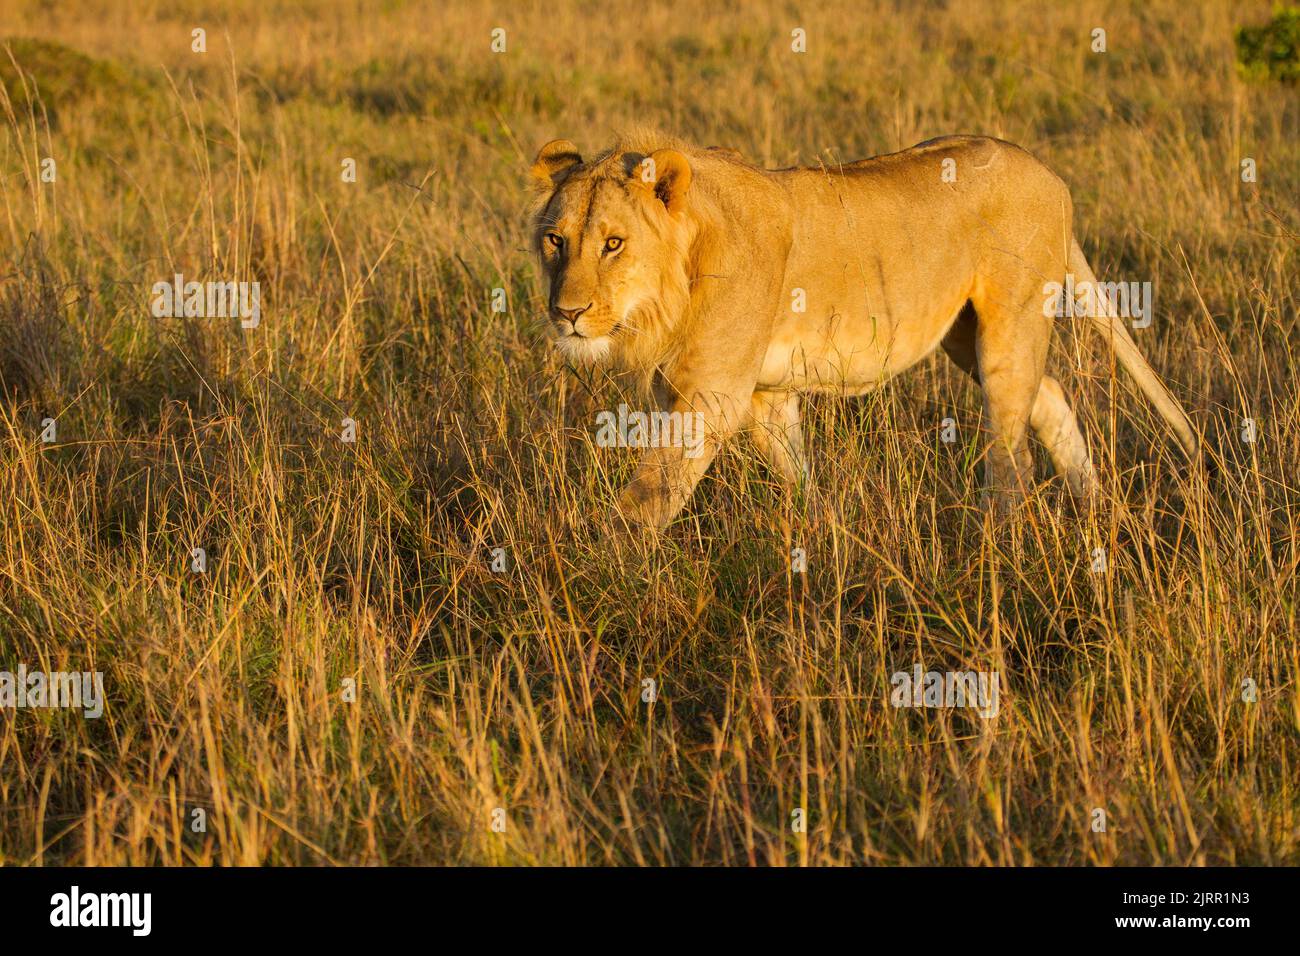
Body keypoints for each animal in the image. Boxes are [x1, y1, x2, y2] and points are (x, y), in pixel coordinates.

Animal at [529, 132, 1199, 529]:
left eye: (613, 244)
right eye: (555, 241)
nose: (567, 314)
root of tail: (1050, 173)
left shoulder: (707, 397)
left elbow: (645, 502)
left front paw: (604, 580)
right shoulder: (767, 396)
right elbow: (795, 475)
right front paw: (817, 537)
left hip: (1010, 325)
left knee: (1012, 457)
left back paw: (998, 546)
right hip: (964, 335)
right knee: (1052, 397)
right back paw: (1096, 507)